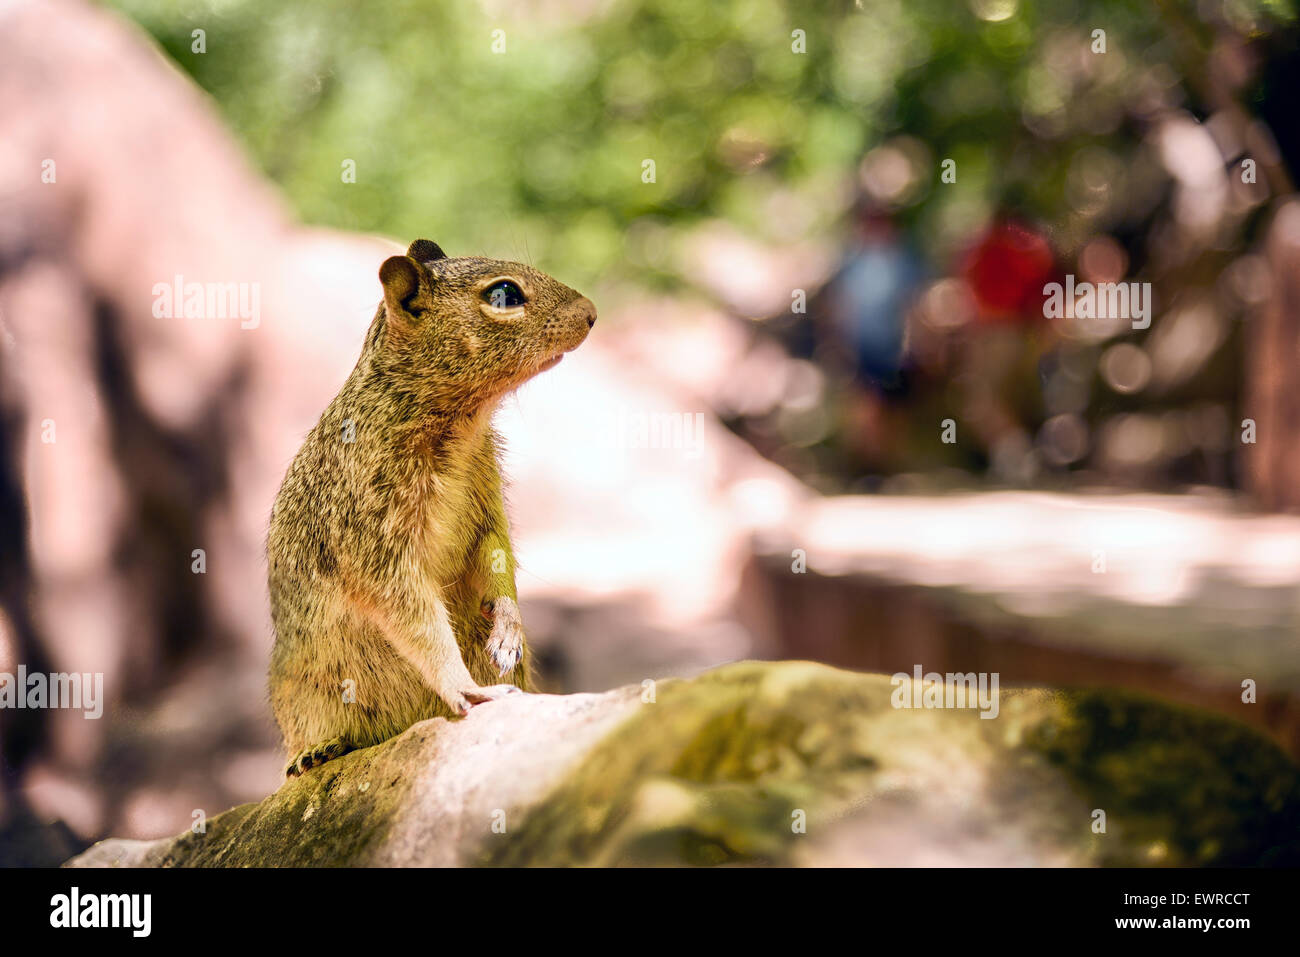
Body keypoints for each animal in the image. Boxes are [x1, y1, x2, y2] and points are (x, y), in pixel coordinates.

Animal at [267, 238, 595, 777]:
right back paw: (318, 751)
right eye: (505, 295)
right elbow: (416, 620)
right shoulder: (376, 543)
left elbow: (497, 555)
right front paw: (466, 688)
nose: (591, 313)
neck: (462, 424)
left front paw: (507, 628)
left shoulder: (486, 499)